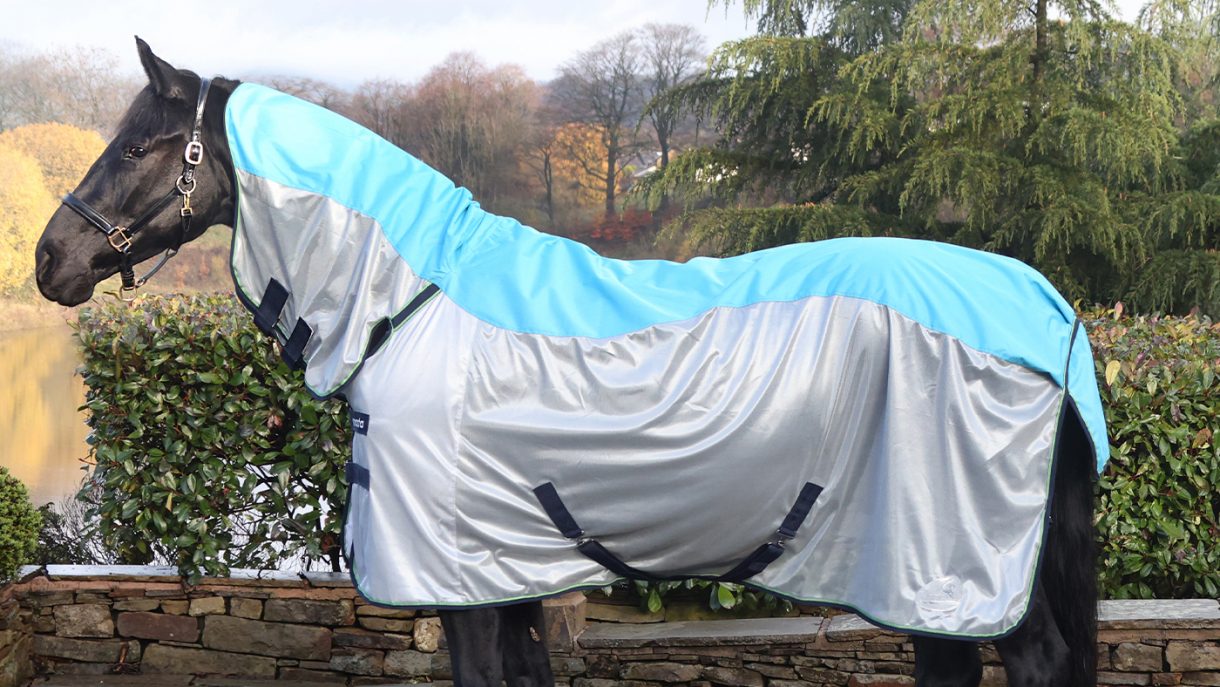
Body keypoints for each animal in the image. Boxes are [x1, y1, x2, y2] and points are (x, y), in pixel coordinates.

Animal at [35, 39, 1105, 687]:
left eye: (135, 146)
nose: (51, 260)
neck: (409, 300)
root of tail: (1049, 306)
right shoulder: (501, 570)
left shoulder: (456, 574)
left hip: (965, 567)